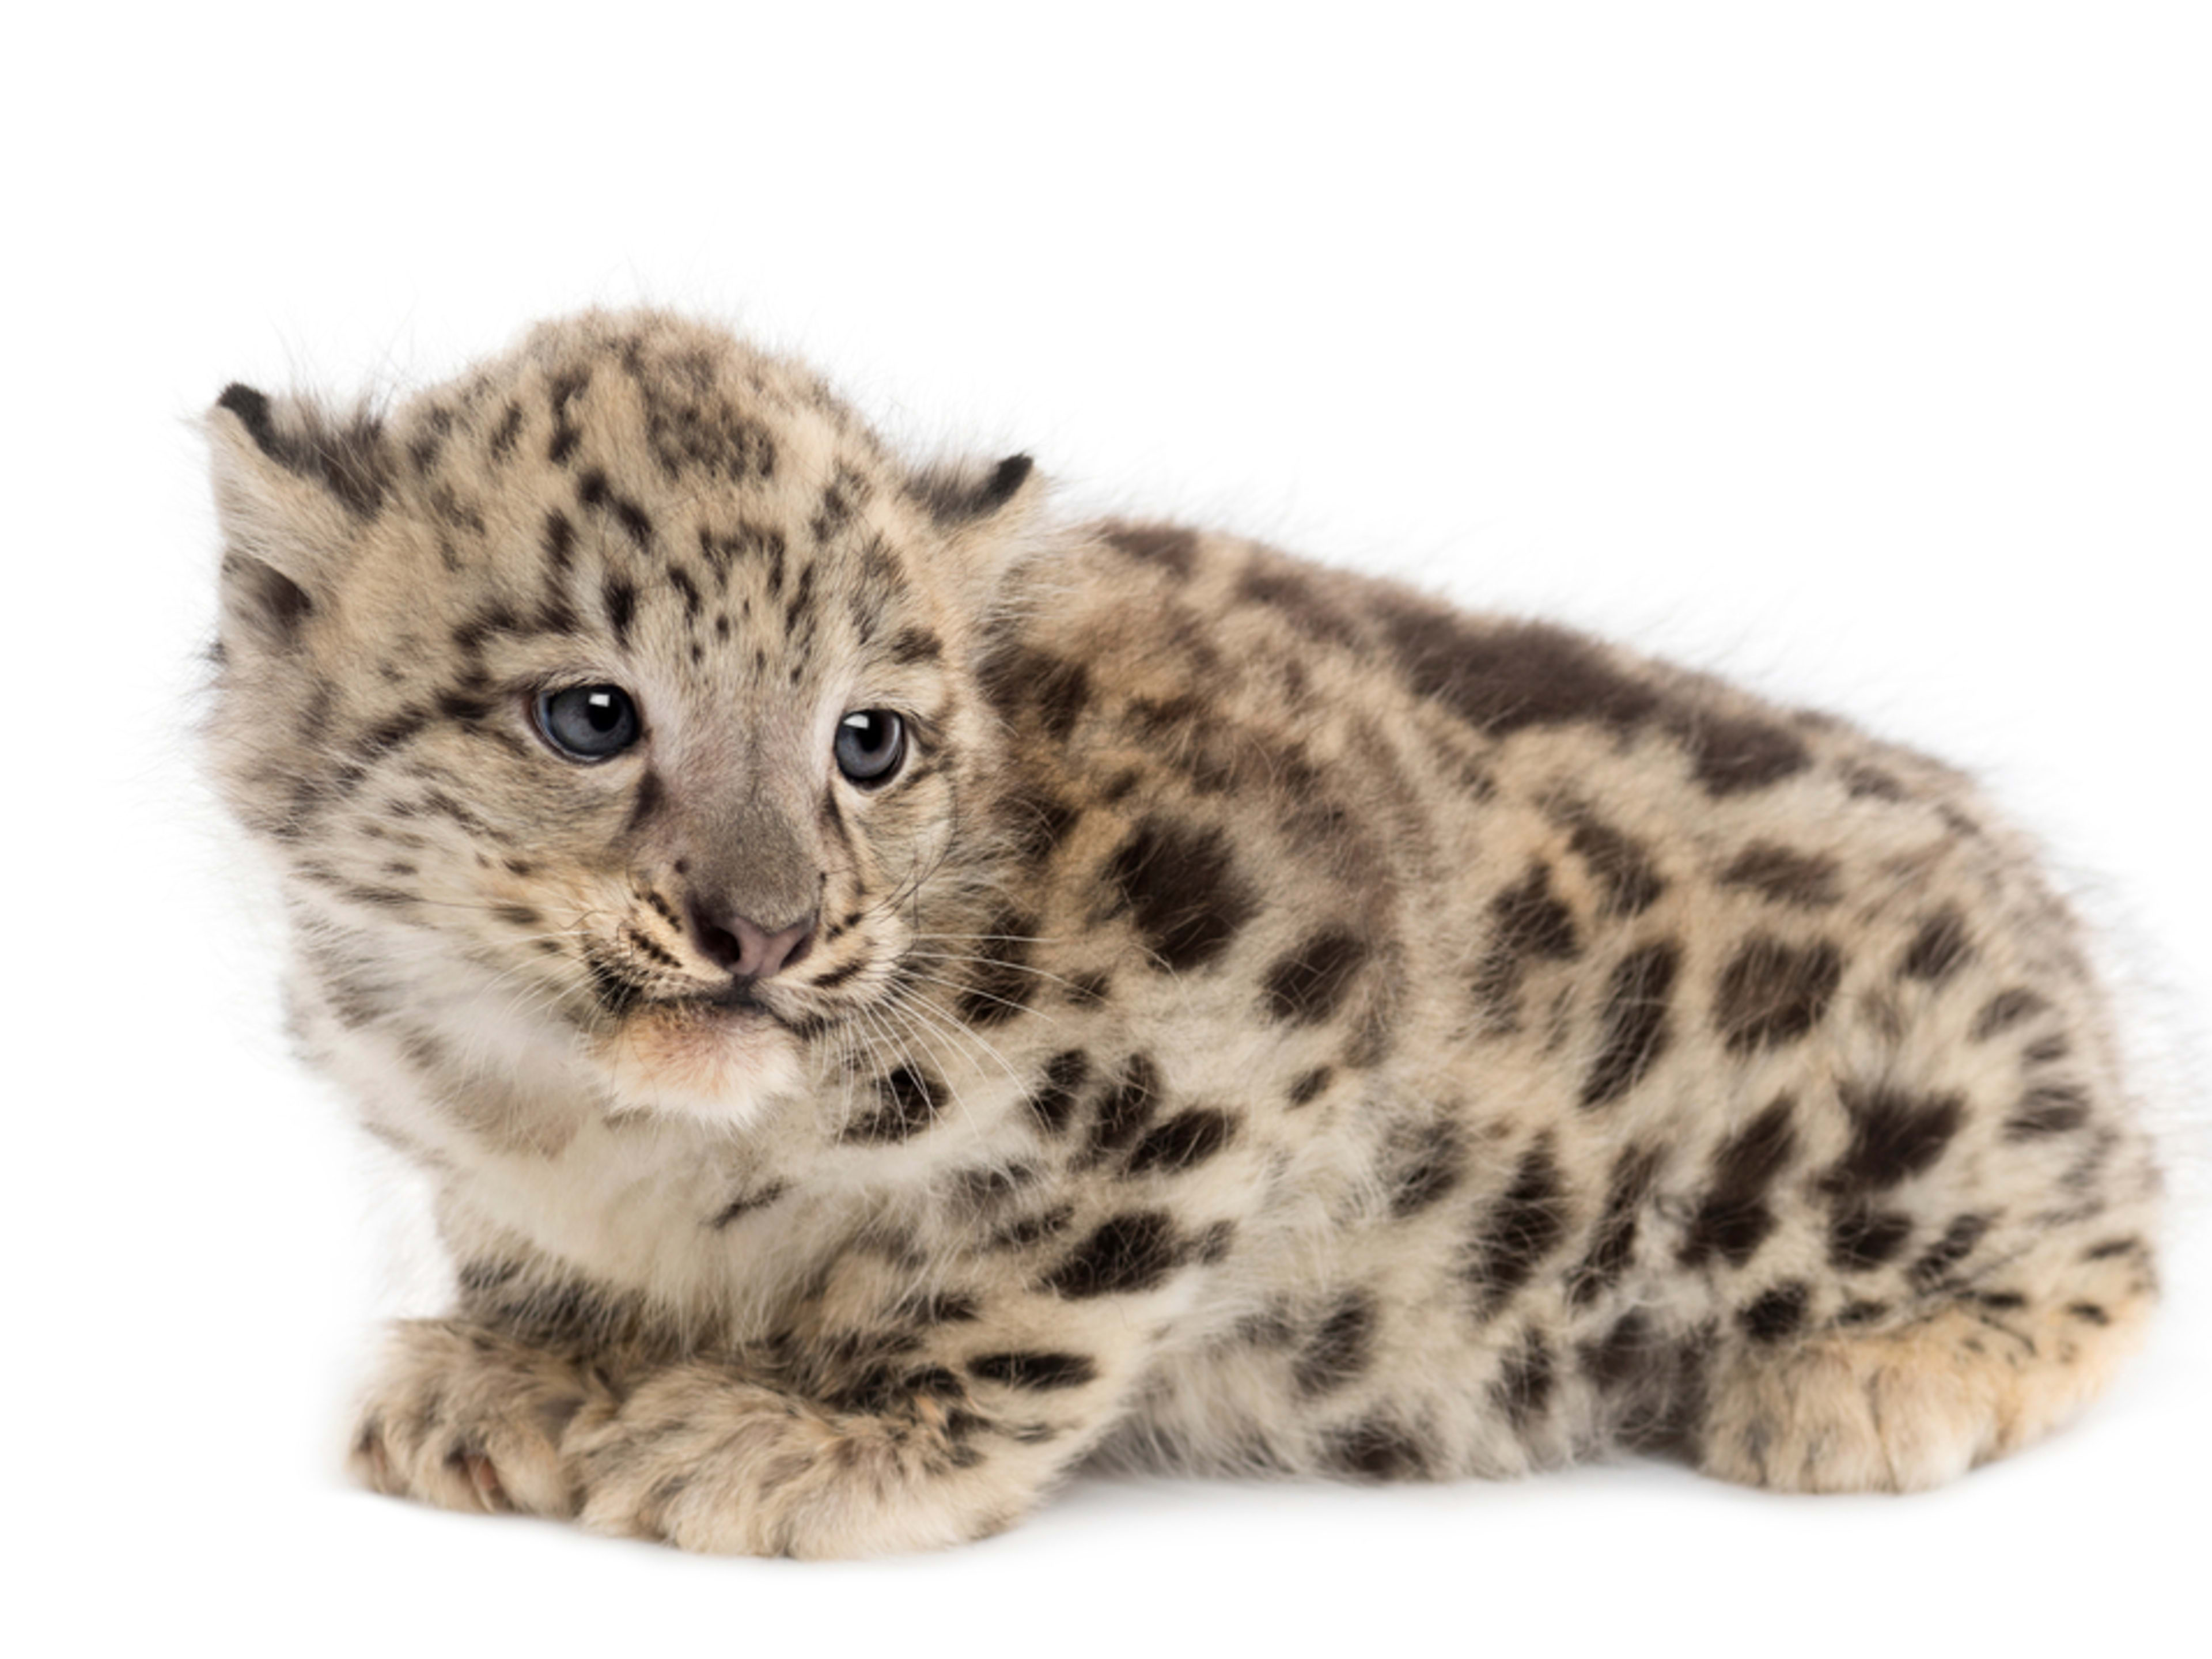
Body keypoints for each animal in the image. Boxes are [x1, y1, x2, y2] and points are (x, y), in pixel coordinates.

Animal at [201, 308, 2162, 1558]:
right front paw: (519, 1368)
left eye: (868, 740)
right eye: (590, 717)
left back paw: (1864, 1381)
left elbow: (1032, 1293)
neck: (579, 1115)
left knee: (2117, 1248)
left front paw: (819, 1438)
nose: (764, 928)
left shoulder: (1261, 989)